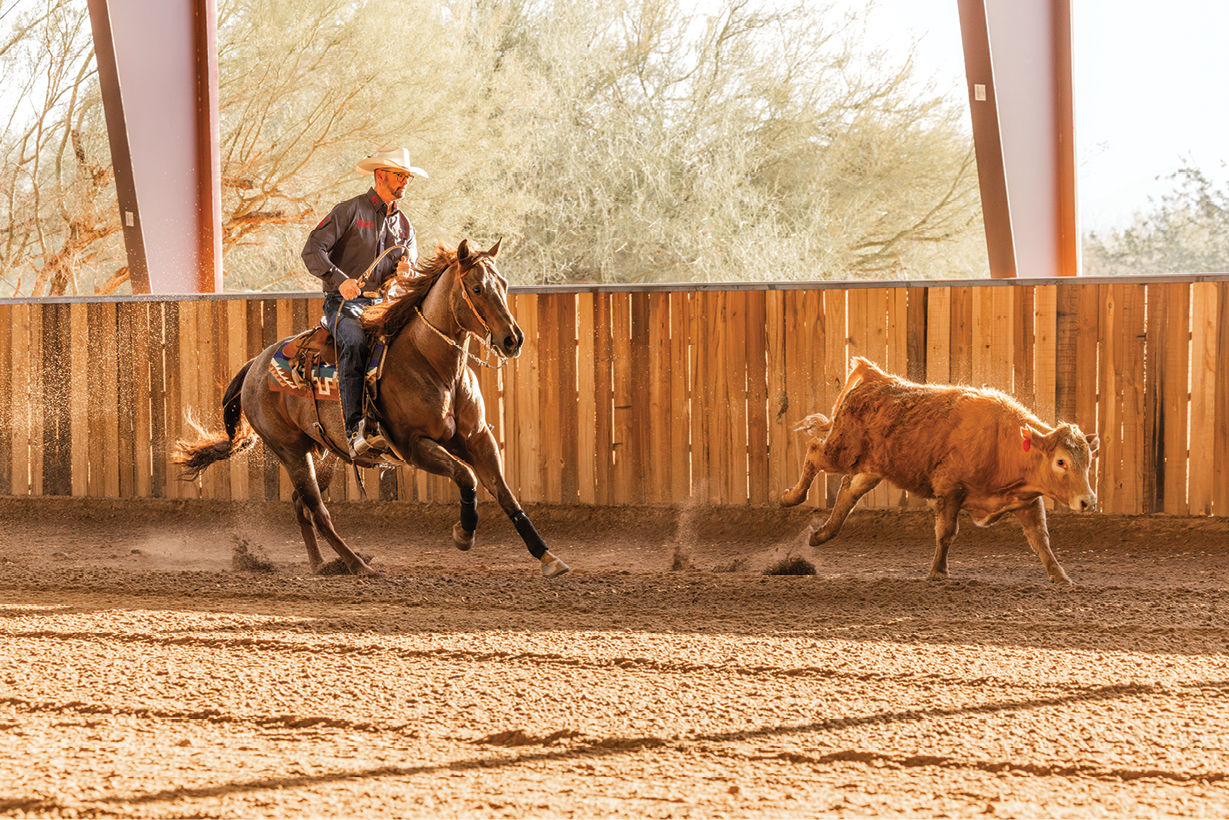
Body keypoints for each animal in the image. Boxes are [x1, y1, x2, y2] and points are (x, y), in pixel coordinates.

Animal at [173, 238, 570, 579]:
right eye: (476, 288)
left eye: (503, 283)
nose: (513, 339)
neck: (431, 364)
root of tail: (255, 364)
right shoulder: (414, 446)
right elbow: (467, 478)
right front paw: (464, 533)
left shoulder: (478, 439)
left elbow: (505, 493)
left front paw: (547, 556)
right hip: (290, 451)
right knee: (318, 510)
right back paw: (356, 565)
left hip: (324, 454)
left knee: (302, 505)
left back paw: (322, 564)